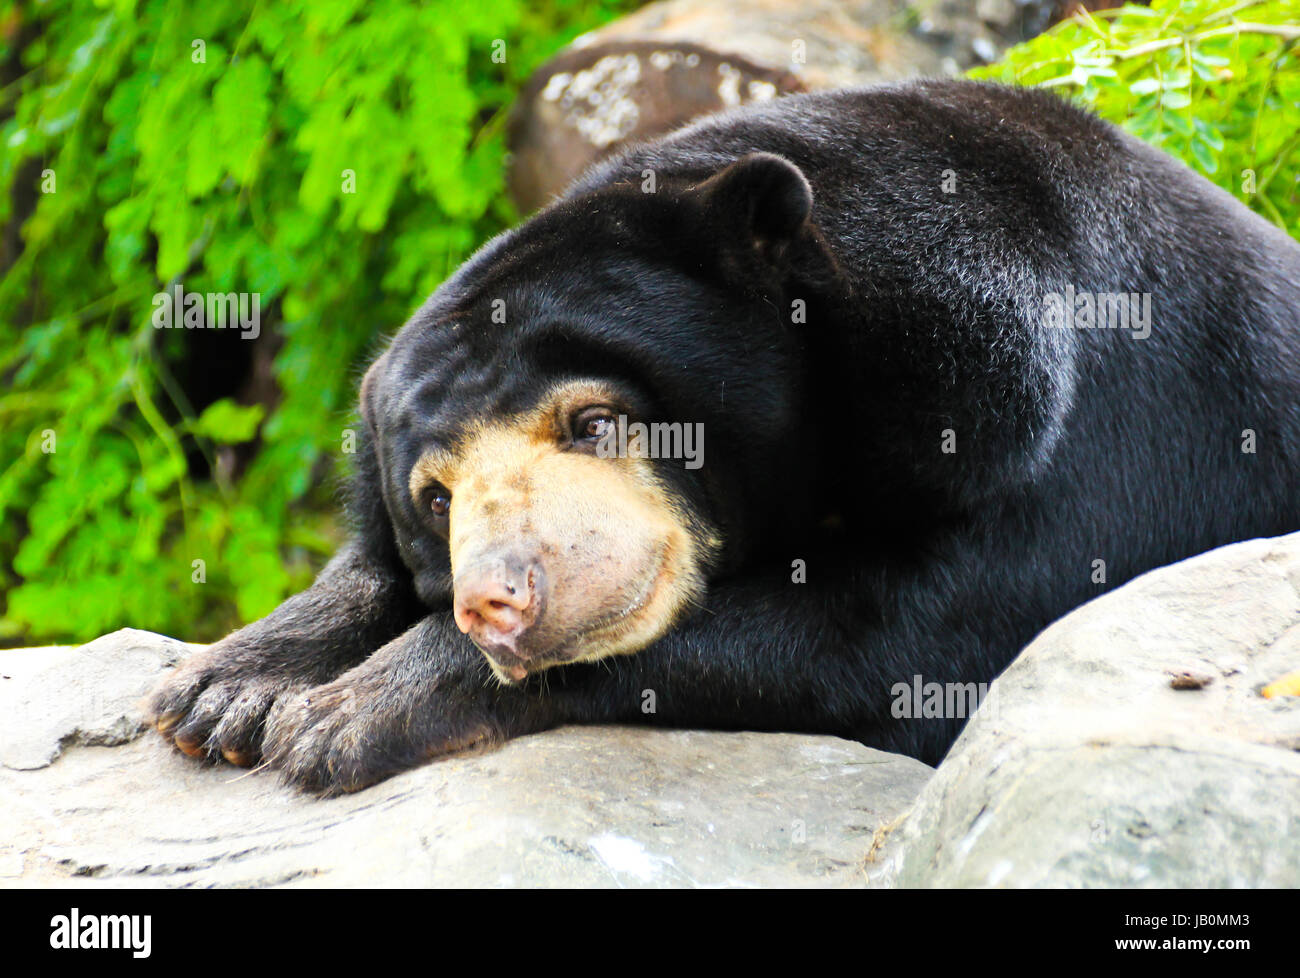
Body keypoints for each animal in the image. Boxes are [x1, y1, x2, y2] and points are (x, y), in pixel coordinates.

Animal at [147, 79, 1300, 794]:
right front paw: (224, 689)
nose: (498, 598)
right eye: (436, 497)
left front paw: (343, 715)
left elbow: (899, 641)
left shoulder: (1056, 443)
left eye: (597, 419)